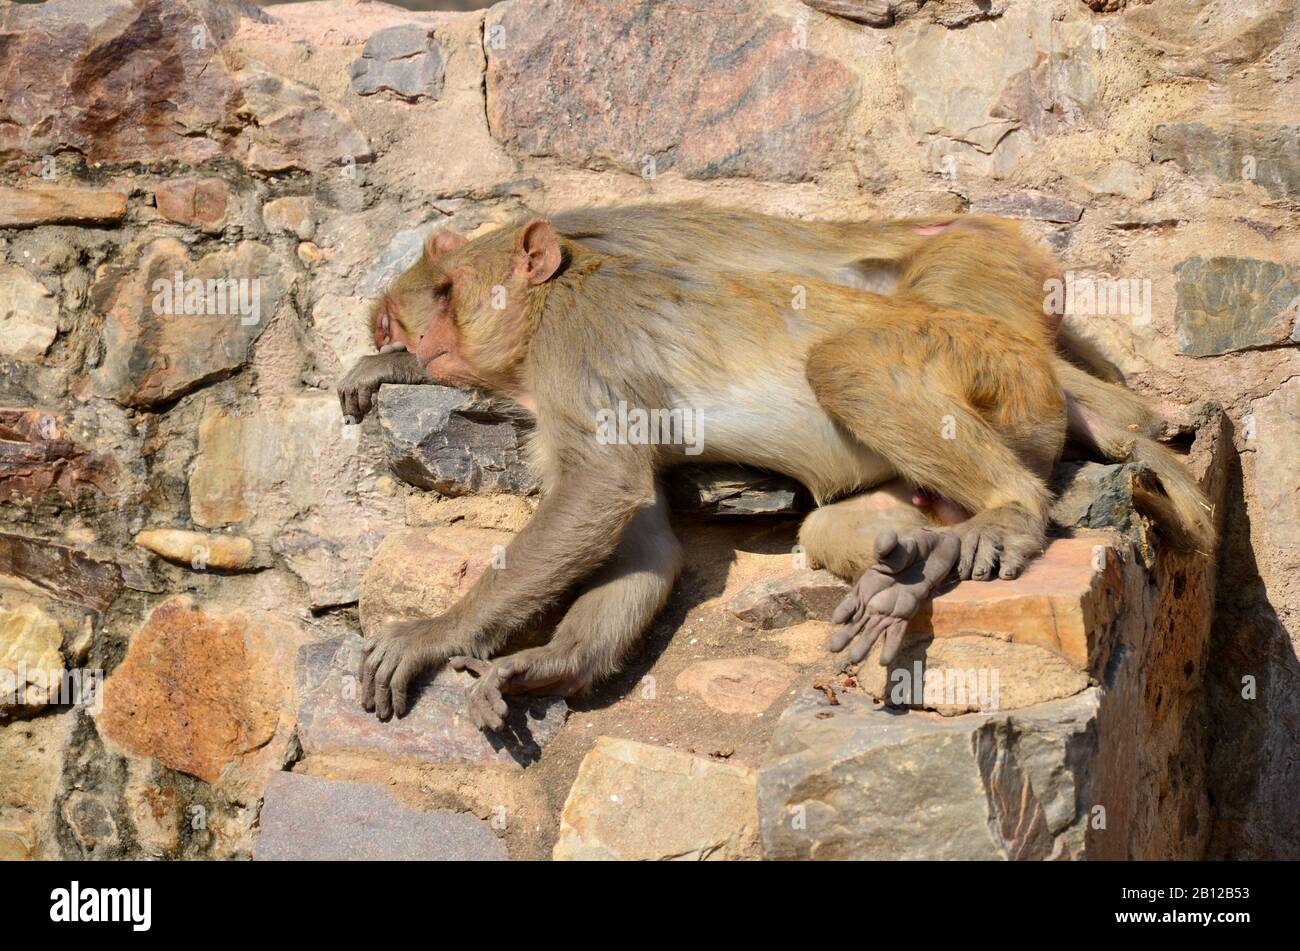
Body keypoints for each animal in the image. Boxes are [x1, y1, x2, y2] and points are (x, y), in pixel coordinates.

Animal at [339, 214, 1214, 731]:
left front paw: (431, 634)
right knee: (834, 524)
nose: (410, 335)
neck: (552, 301)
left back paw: (1011, 510)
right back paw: (913, 571)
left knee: (847, 365)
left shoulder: (579, 350)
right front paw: (551, 662)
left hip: (991, 366)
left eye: (448, 289)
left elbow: (601, 489)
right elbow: (642, 531)